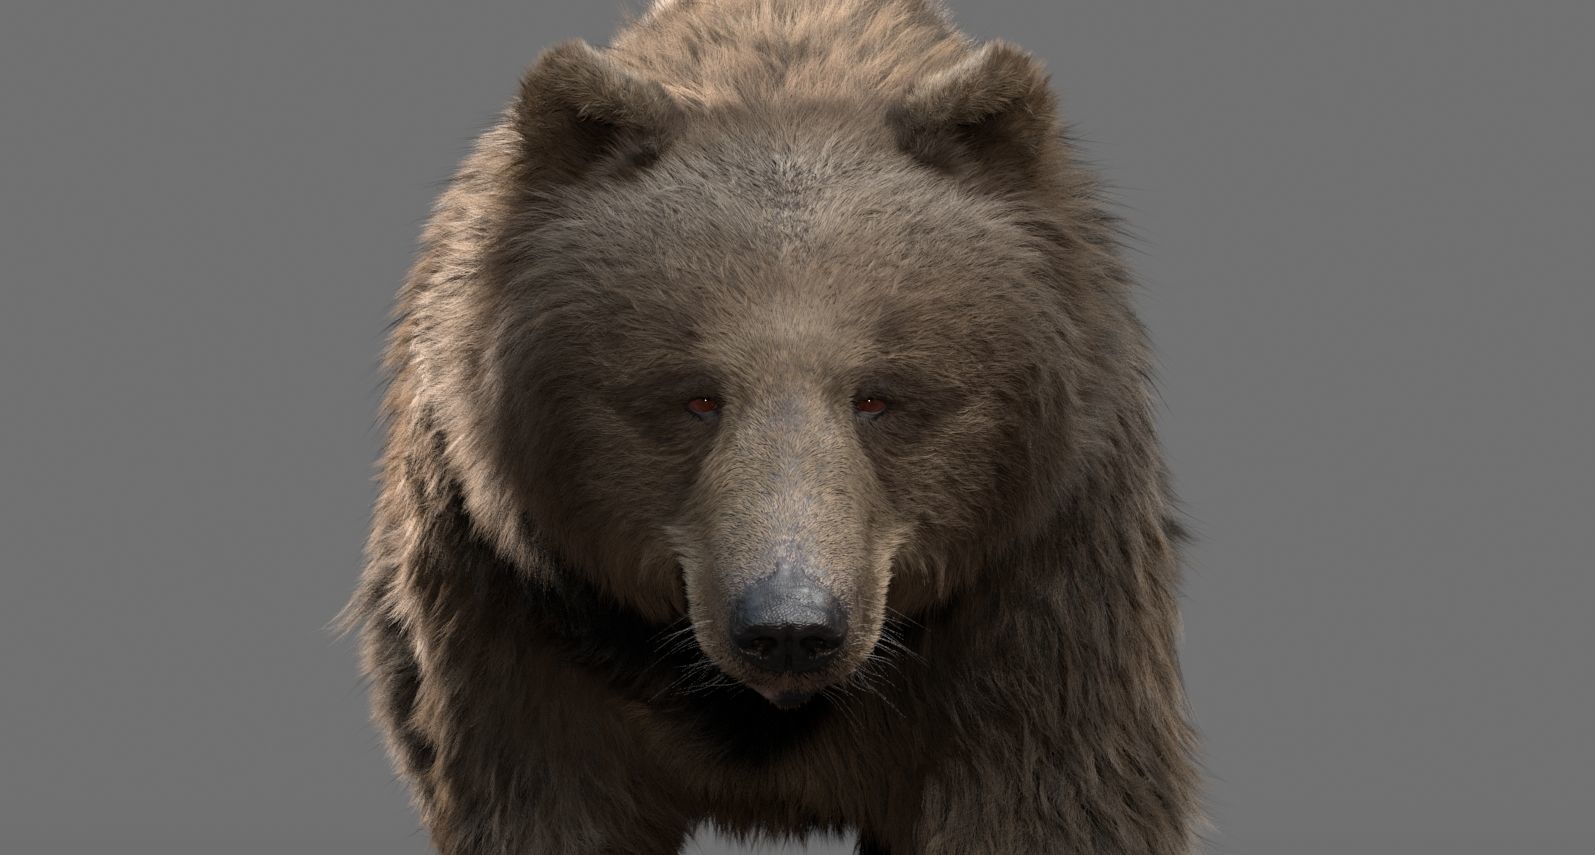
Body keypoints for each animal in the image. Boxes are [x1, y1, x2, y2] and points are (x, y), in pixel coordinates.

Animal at [341, 0, 1201, 851]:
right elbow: (541, 796)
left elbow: (1050, 795)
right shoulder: (512, 611)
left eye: (877, 396)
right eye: (696, 397)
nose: (789, 625)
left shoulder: (1038, 583)